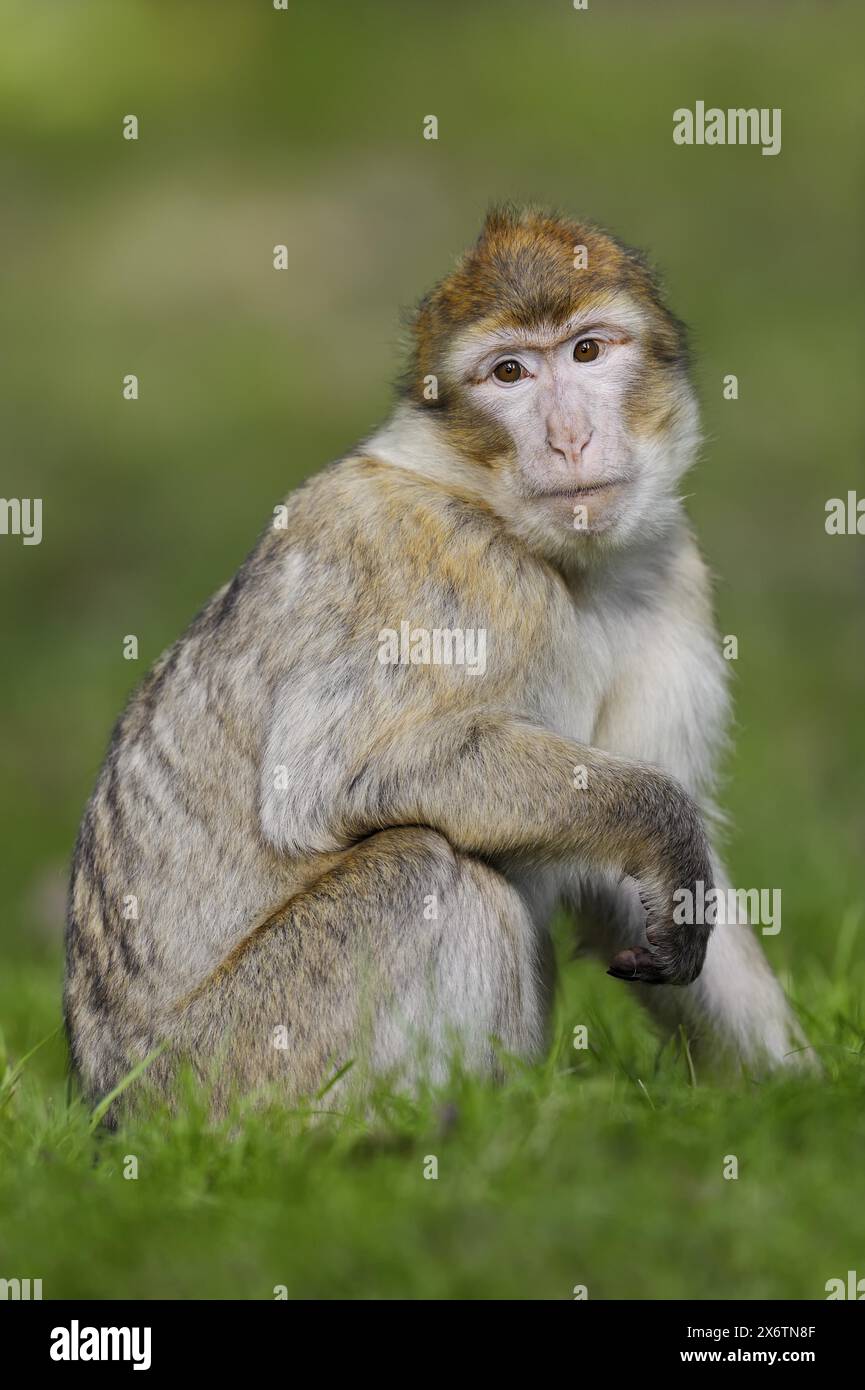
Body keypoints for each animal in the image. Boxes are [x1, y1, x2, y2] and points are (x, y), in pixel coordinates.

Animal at [64, 205, 812, 1119]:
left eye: (587, 352)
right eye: (508, 372)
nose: (569, 438)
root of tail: (109, 1107)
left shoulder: (667, 575)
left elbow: (615, 893)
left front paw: (799, 1098)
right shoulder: (447, 563)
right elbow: (336, 780)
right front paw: (658, 820)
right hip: (232, 1068)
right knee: (429, 862)